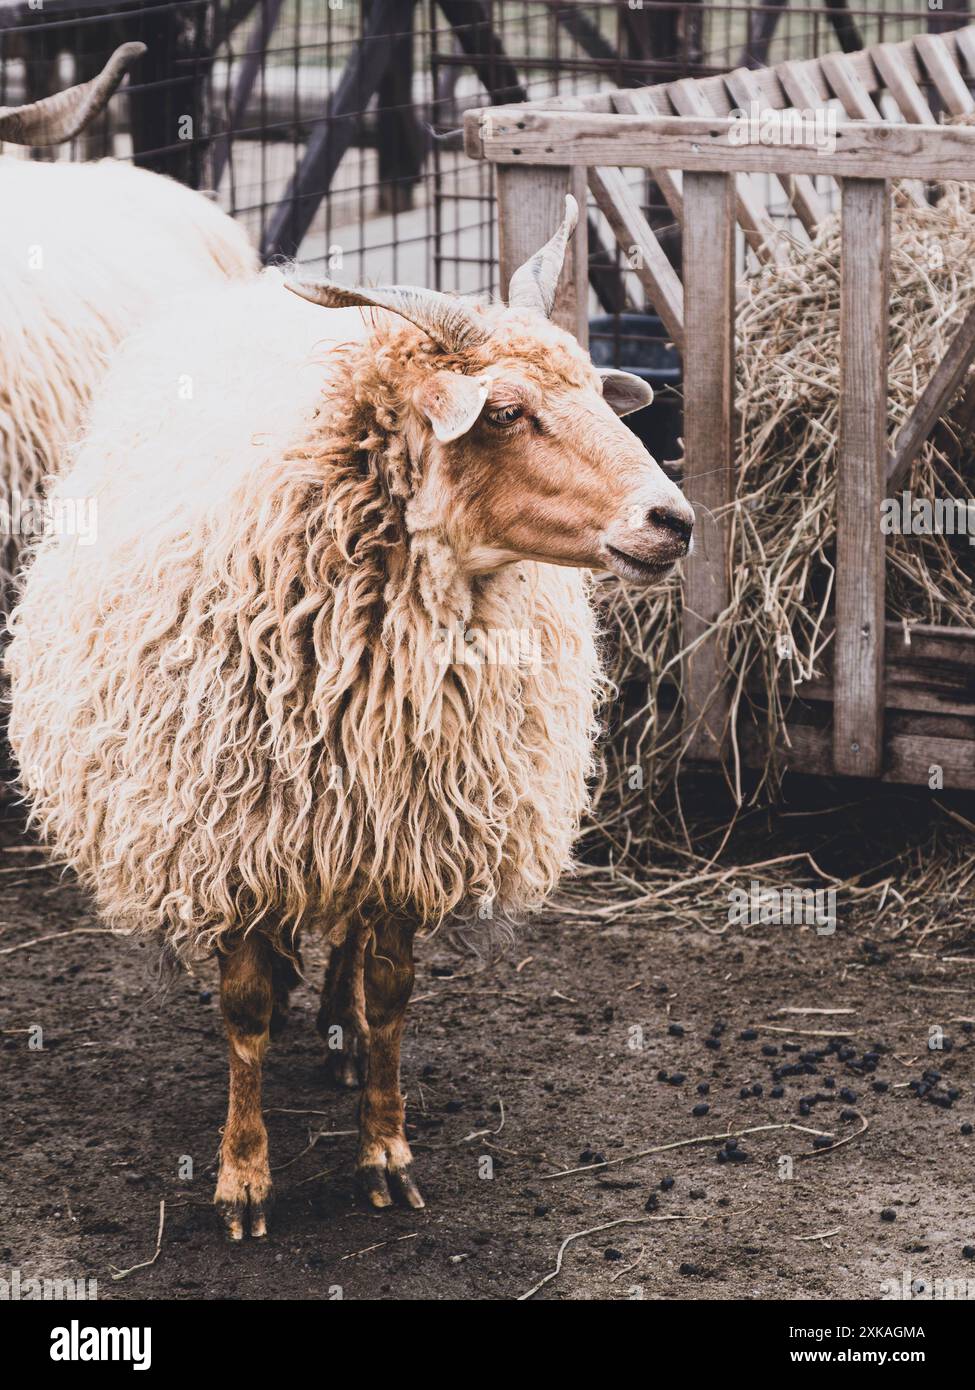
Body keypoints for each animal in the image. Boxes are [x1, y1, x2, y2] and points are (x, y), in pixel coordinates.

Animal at [6, 196, 694, 1236]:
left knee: (350, 952)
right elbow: (246, 1012)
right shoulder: (239, 834)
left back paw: (337, 1023)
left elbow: (394, 997)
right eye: (504, 411)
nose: (672, 521)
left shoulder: (409, 831)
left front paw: (386, 1150)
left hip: (359, 820)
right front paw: (242, 1178)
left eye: (591, 390)